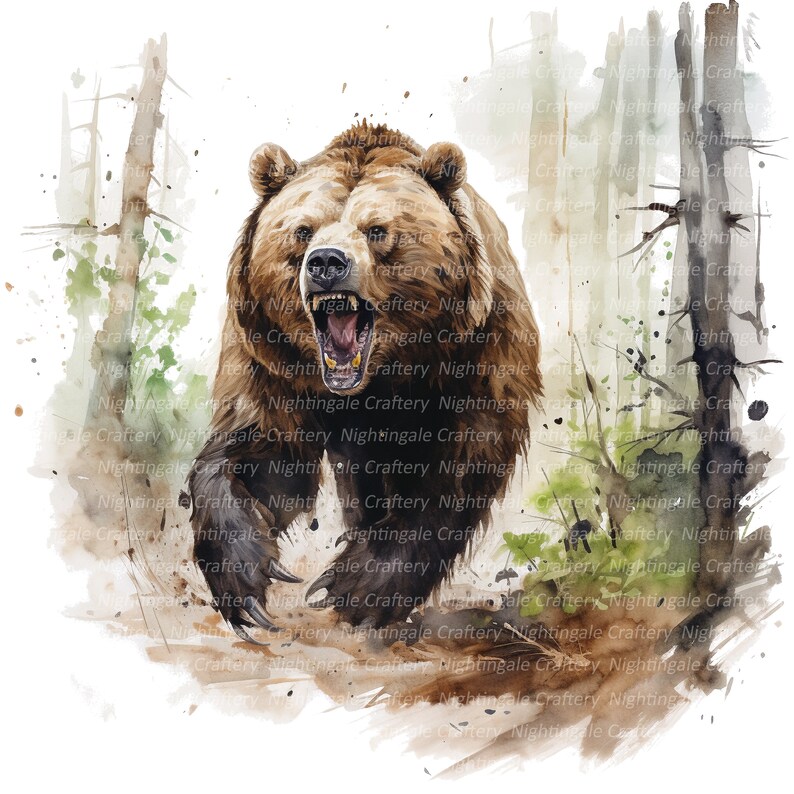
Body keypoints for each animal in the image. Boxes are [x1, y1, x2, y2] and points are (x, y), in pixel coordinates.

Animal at [188, 121, 542, 643]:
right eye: (302, 230)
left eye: (378, 230)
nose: (326, 262)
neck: (379, 377)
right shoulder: (273, 363)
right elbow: (264, 454)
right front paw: (244, 577)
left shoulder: (475, 354)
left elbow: (458, 466)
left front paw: (356, 587)